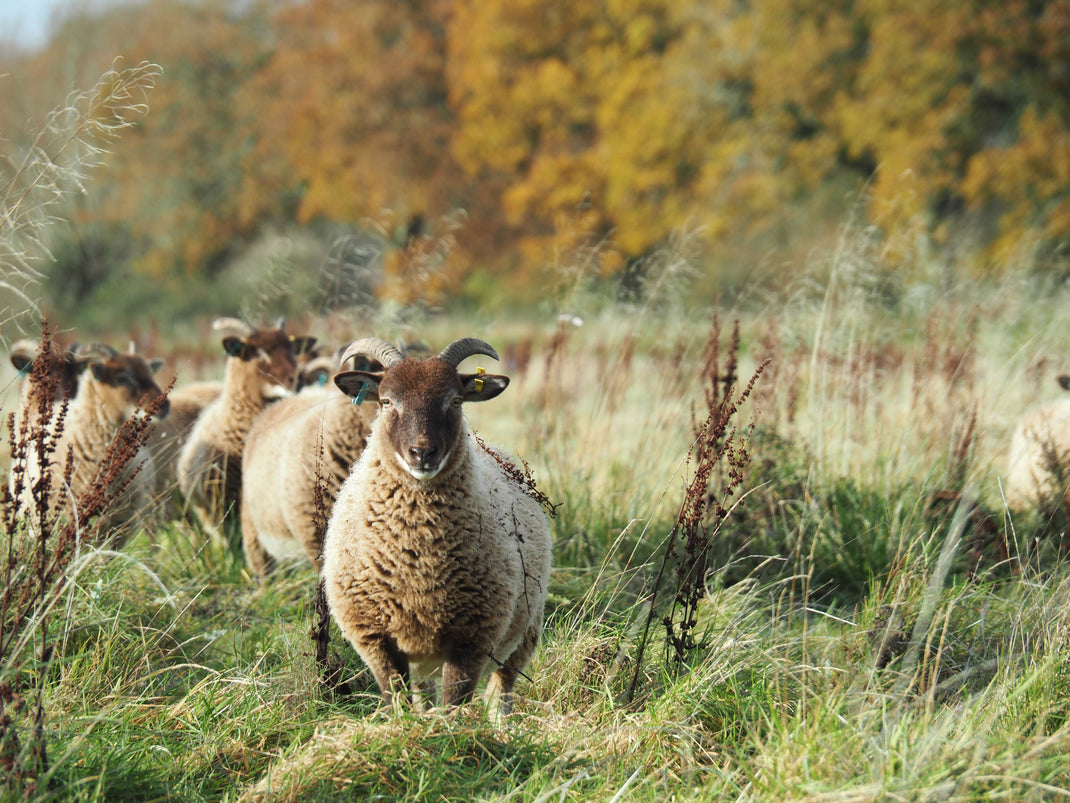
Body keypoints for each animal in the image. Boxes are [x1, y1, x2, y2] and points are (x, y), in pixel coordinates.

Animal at [321, 337, 552, 715]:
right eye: (386, 401)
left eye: (455, 401)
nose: (422, 453)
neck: (419, 560)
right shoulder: (374, 636)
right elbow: (395, 700)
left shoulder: (473, 636)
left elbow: (454, 706)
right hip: (422, 657)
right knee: (424, 692)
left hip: (524, 636)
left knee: (501, 692)